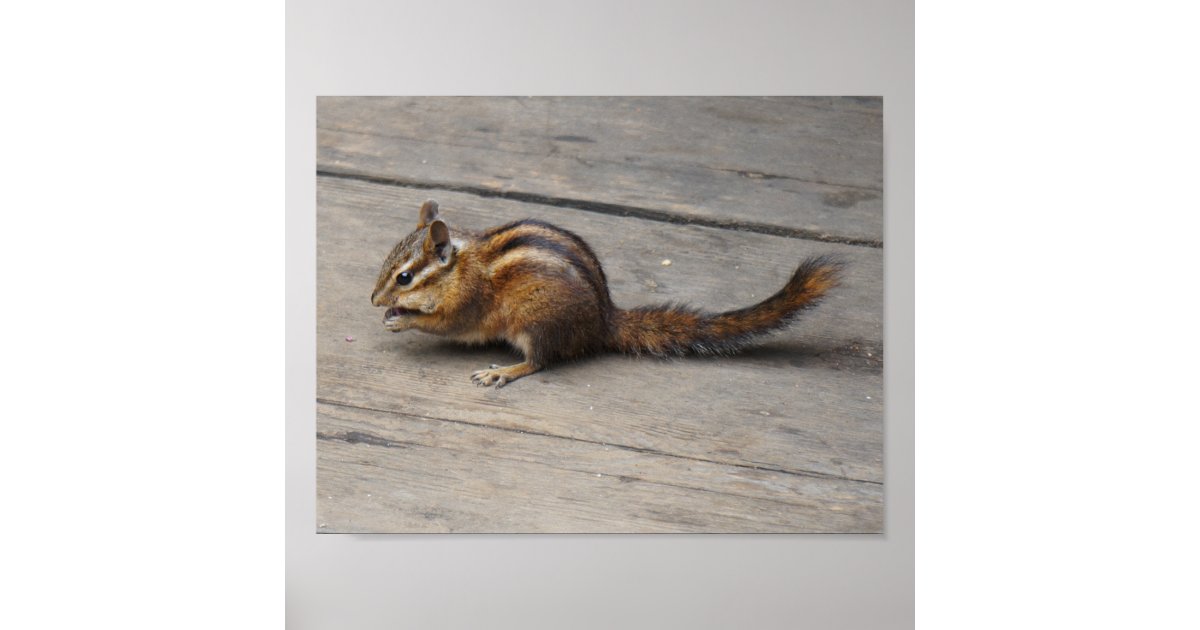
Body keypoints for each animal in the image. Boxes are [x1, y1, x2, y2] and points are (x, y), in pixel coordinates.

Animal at [371, 200, 843, 387]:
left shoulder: (467, 304)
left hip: (536, 323)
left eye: (405, 277)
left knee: (541, 362)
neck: (461, 266)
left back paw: (504, 371)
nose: (374, 299)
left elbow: (447, 324)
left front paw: (403, 319)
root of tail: (602, 321)